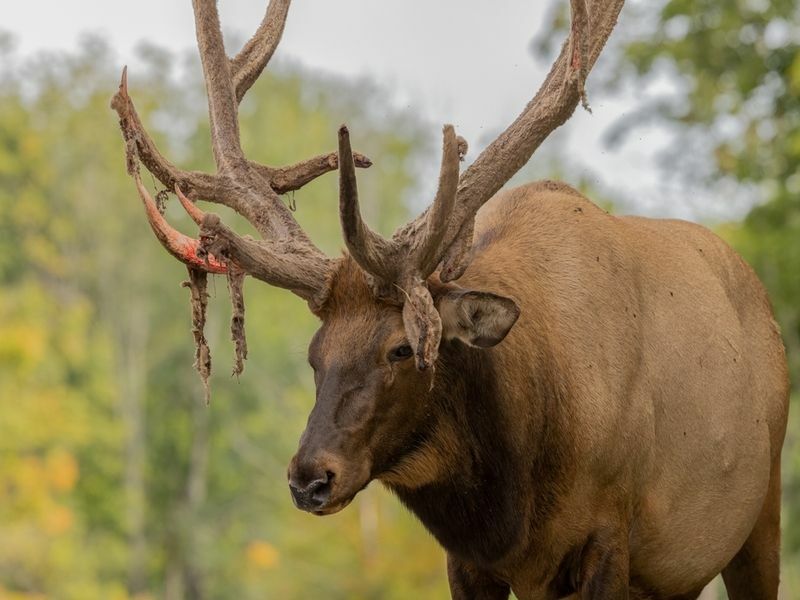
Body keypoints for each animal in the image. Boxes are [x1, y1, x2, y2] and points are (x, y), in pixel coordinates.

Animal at [109, 0, 792, 596]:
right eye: (313, 354)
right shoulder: (467, 564)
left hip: (759, 514)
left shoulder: (610, 536)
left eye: (402, 349)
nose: (309, 478)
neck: (514, 509)